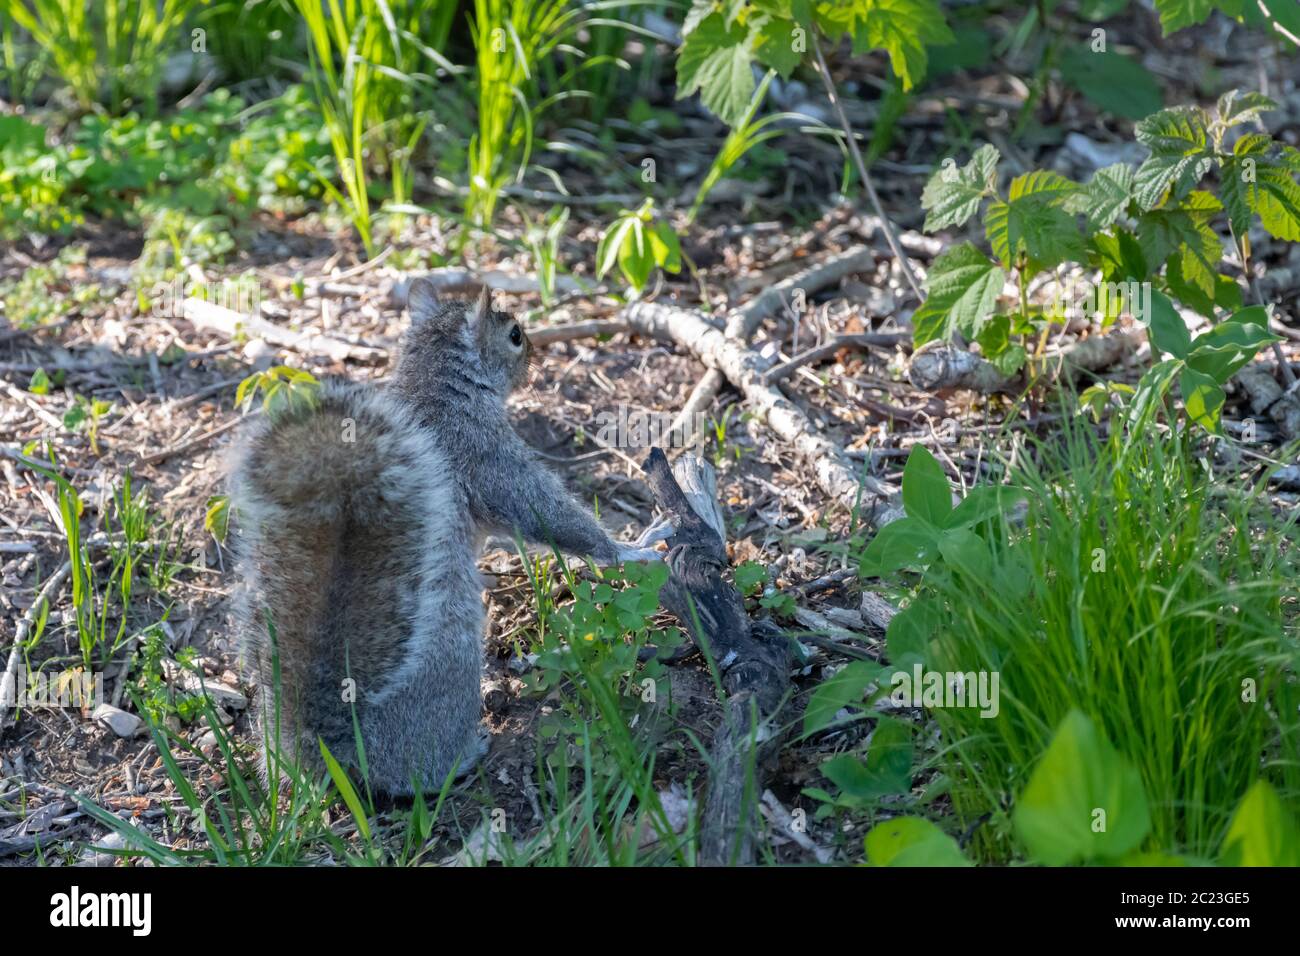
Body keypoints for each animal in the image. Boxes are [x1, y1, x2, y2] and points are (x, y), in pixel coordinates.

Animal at [228, 281, 673, 795]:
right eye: (515, 334)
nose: (536, 356)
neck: (433, 379)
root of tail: (337, 748)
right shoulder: (482, 451)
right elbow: (542, 512)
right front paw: (632, 548)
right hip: (456, 649)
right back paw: (465, 754)